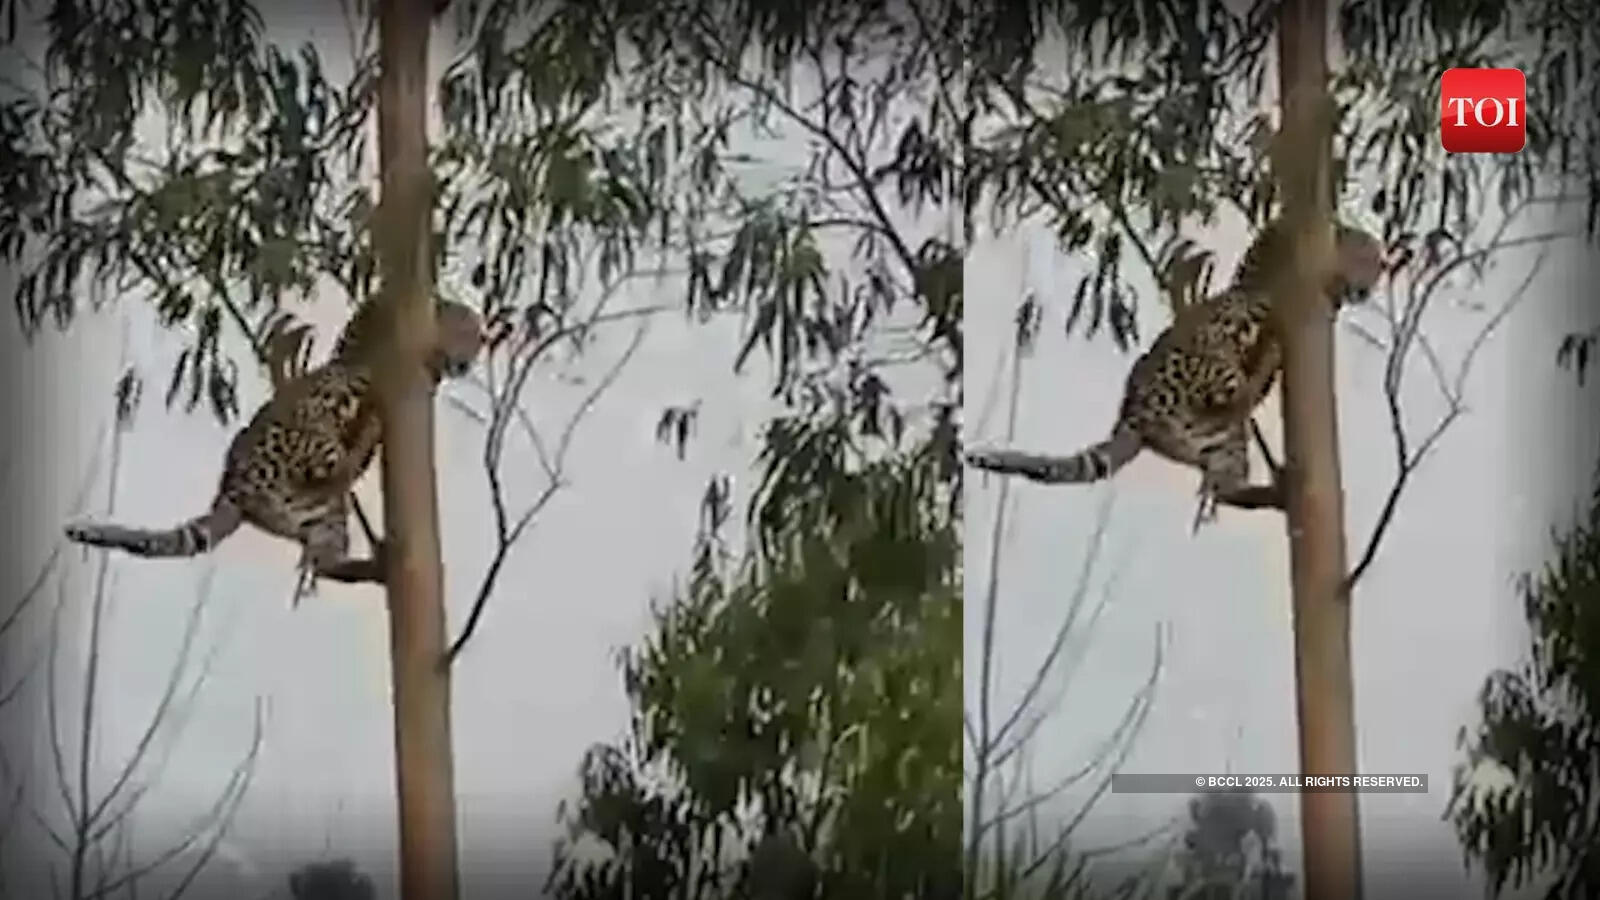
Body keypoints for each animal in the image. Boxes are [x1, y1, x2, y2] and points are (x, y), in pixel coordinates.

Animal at [63, 298, 498, 595]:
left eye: (477, 343)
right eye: (466, 335)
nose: (466, 361)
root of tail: (233, 492)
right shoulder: (363, 334)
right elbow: (367, 314)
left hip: (325, 520)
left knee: (324, 562)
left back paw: (376, 563)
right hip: (310, 435)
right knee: (338, 463)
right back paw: (365, 430)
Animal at [965, 218, 1384, 527]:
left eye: (1377, 268)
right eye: (1367, 259)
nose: (1368, 285)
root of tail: (1134, 418)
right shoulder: (1266, 258)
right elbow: (1272, 238)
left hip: (1224, 443)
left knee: (1226, 485)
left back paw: (1267, 489)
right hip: (1210, 358)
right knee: (1239, 387)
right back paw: (1265, 360)